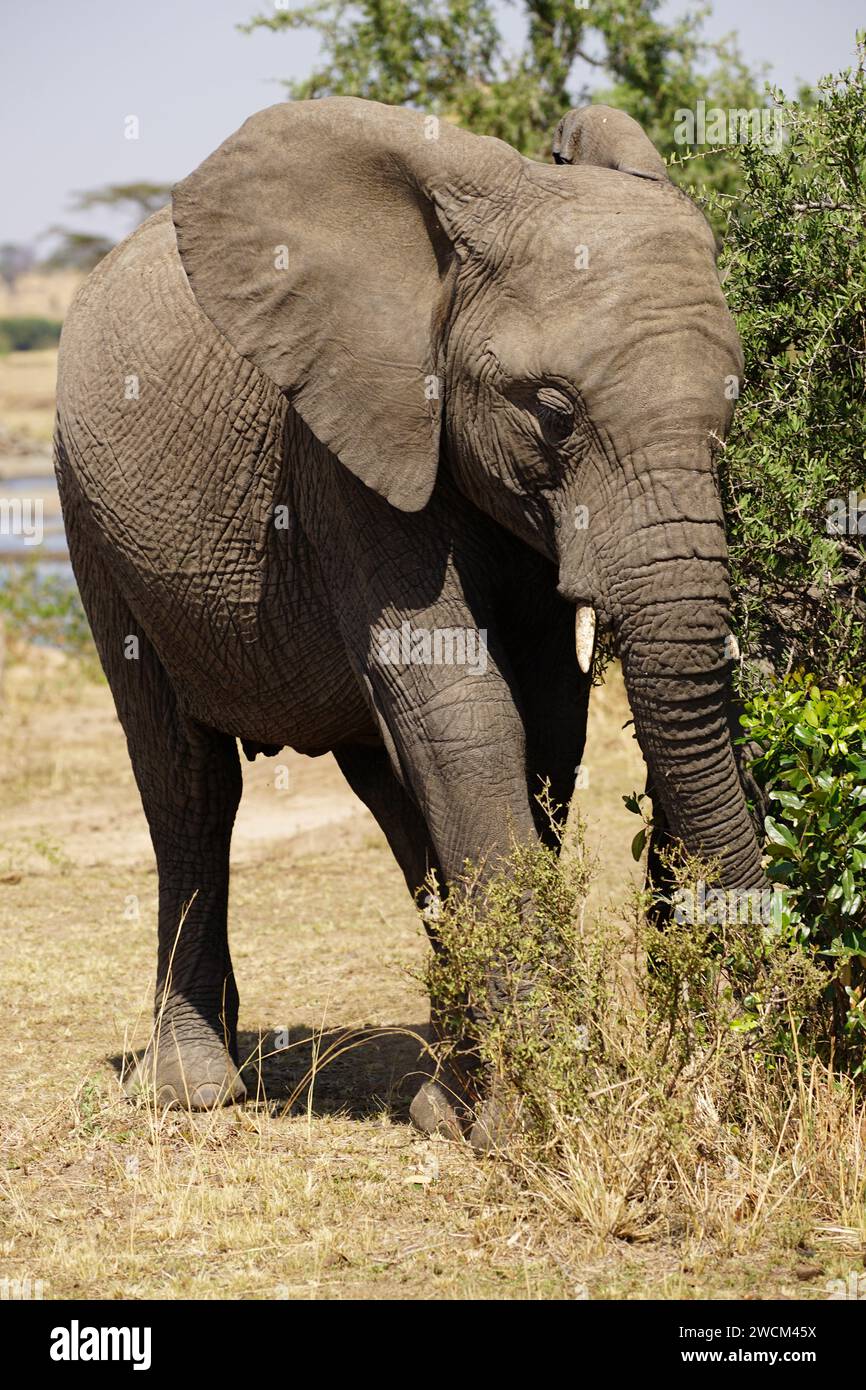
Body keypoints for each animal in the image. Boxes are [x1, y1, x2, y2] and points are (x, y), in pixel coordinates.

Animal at [54, 97, 765, 1140]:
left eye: (735, 401)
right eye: (553, 409)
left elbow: (543, 724)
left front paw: (477, 1112)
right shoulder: (343, 444)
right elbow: (464, 709)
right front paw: (536, 1118)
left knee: (391, 789)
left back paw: (437, 1089)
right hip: (90, 516)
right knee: (187, 780)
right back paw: (192, 1089)